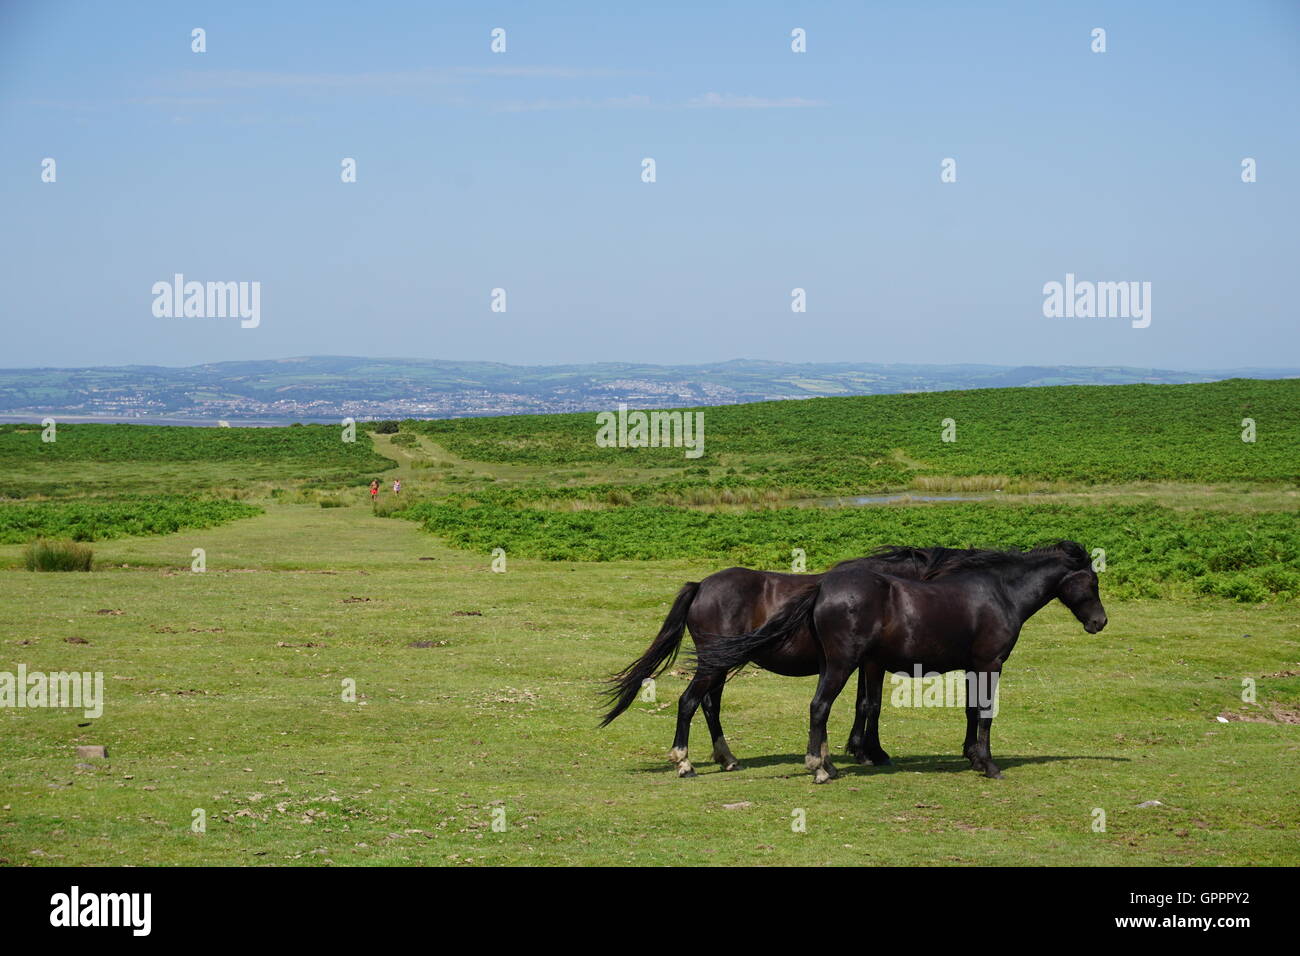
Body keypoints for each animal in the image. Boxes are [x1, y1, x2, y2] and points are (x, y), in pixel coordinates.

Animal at [600, 545, 987, 777]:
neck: (889, 593)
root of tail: (702, 586)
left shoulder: (859, 663)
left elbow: (860, 704)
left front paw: (853, 750)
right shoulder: (871, 664)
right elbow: (871, 705)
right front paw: (871, 752)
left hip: (722, 664)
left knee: (709, 704)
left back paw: (727, 758)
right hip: (713, 664)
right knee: (689, 702)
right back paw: (685, 763)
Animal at [695, 541, 1107, 782]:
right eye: (1092, 581)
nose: (1099, 622)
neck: (998, 593)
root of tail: (823, 588)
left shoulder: (970, 666)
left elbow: (970, 711)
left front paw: (973, 757)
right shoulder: (991, 664)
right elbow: (985, 713)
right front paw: (988, 765)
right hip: (836, 665)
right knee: (816, 707)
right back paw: (816, 767)